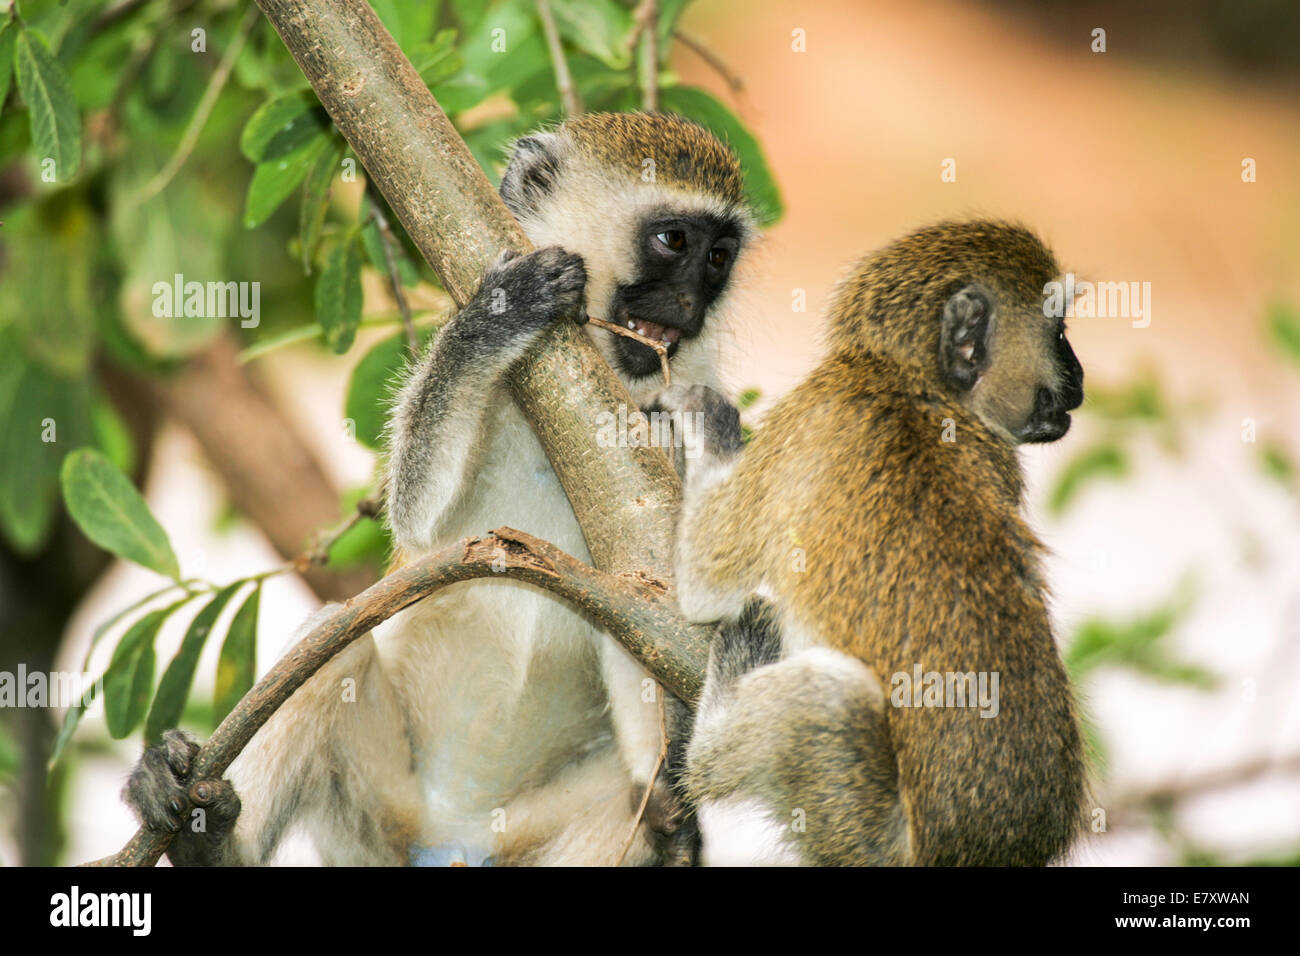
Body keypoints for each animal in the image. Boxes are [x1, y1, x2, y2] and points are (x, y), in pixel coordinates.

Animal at [124, 112, 756, 866]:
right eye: (675, 241)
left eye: (719, 259)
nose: (690, 304)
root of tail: (452, 836)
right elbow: (417, 518)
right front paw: (493, 318)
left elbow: (663, 618)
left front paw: (705, 435)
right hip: (376, 822)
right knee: (333, 642)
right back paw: (213, 839)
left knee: (638, 801)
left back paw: (665, 823)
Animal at [651, 220, 1087, 866]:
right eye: (1058, 334)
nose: (1080, 379)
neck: (911, 381)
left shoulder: (815, 410)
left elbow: (705, 585)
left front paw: (709, 422)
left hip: (859, 828)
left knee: (824, 699)